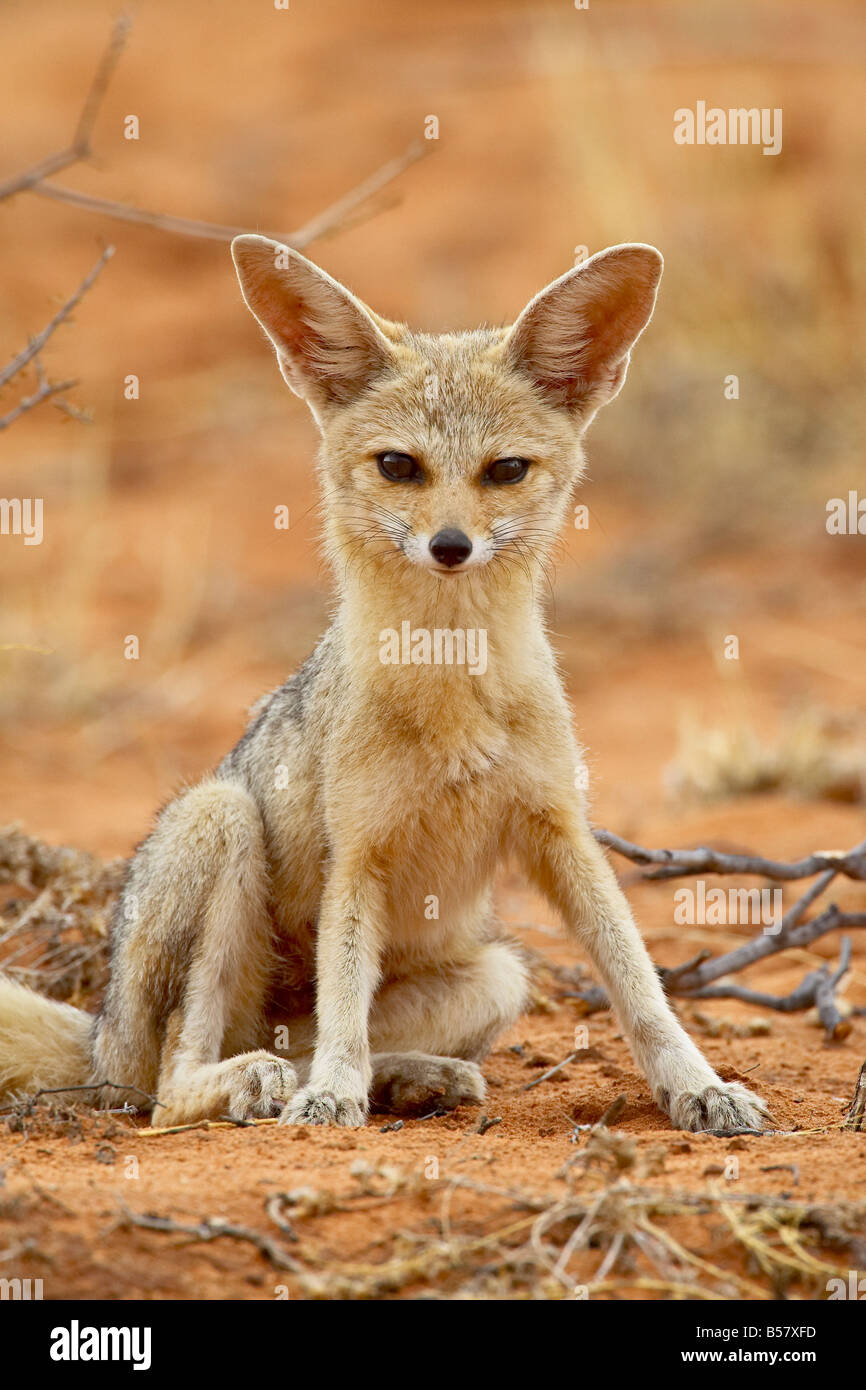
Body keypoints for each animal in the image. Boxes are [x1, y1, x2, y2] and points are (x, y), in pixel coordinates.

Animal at [0, 237, 768, 1134]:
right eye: (400, 466)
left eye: (506, 470)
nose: (450, 545)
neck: (452, 685)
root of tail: (96, 1039)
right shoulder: (359, 852)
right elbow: (343, 1003)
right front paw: (332, 1097)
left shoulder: (561, 832)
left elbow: (640, 985)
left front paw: (700, 1084)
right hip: (222, 823)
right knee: (170, 1089)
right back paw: (271, 1084)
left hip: (498, 975)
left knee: (307, 1048)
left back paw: (412, 1079)